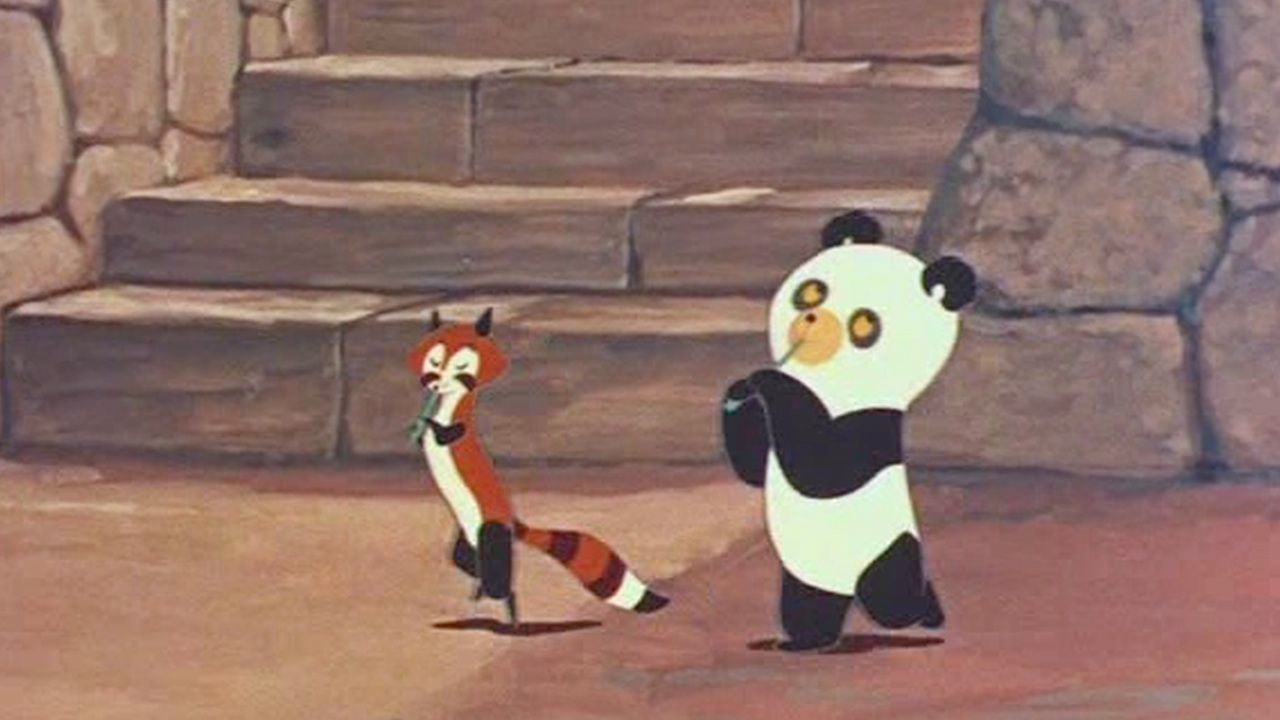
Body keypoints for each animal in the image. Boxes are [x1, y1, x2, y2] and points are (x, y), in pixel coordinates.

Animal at [720, 209, 975, 652]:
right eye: (810, 291)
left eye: (865, 324)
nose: (810, 320)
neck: (835, 389)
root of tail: (845, 582)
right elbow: (755, 468)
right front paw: (740, 393)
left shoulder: (869, 424)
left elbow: (824, 468)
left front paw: (767, 378)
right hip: (808, 575)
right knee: (808, 606)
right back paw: (806, 640)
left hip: (885, 547)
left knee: (891, 596)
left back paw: (923, 612)